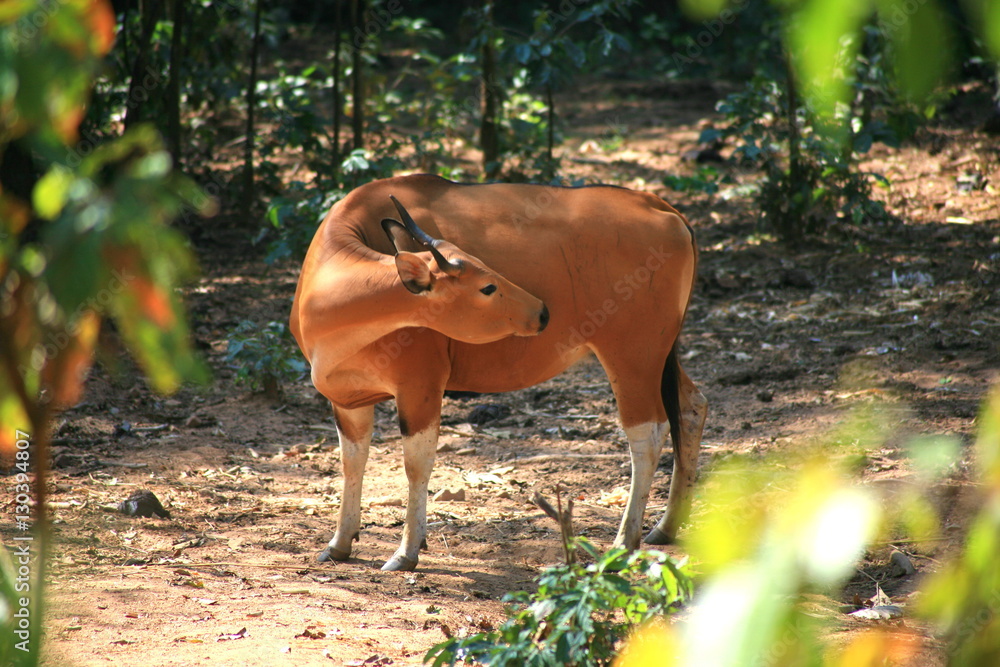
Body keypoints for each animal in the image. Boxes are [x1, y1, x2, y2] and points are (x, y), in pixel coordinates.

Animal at [289, 173, 707, 572]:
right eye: (488, 286)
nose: (542, 311)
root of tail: (662, 207)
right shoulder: (346, 398)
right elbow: (352, 461)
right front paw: (339, 542)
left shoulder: (420, 386)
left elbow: (416, 465)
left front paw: (406, 550)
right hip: (659, 353)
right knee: (691, 406)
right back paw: (665, 527)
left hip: (632, 353)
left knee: (648, 434)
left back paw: (624, 541)